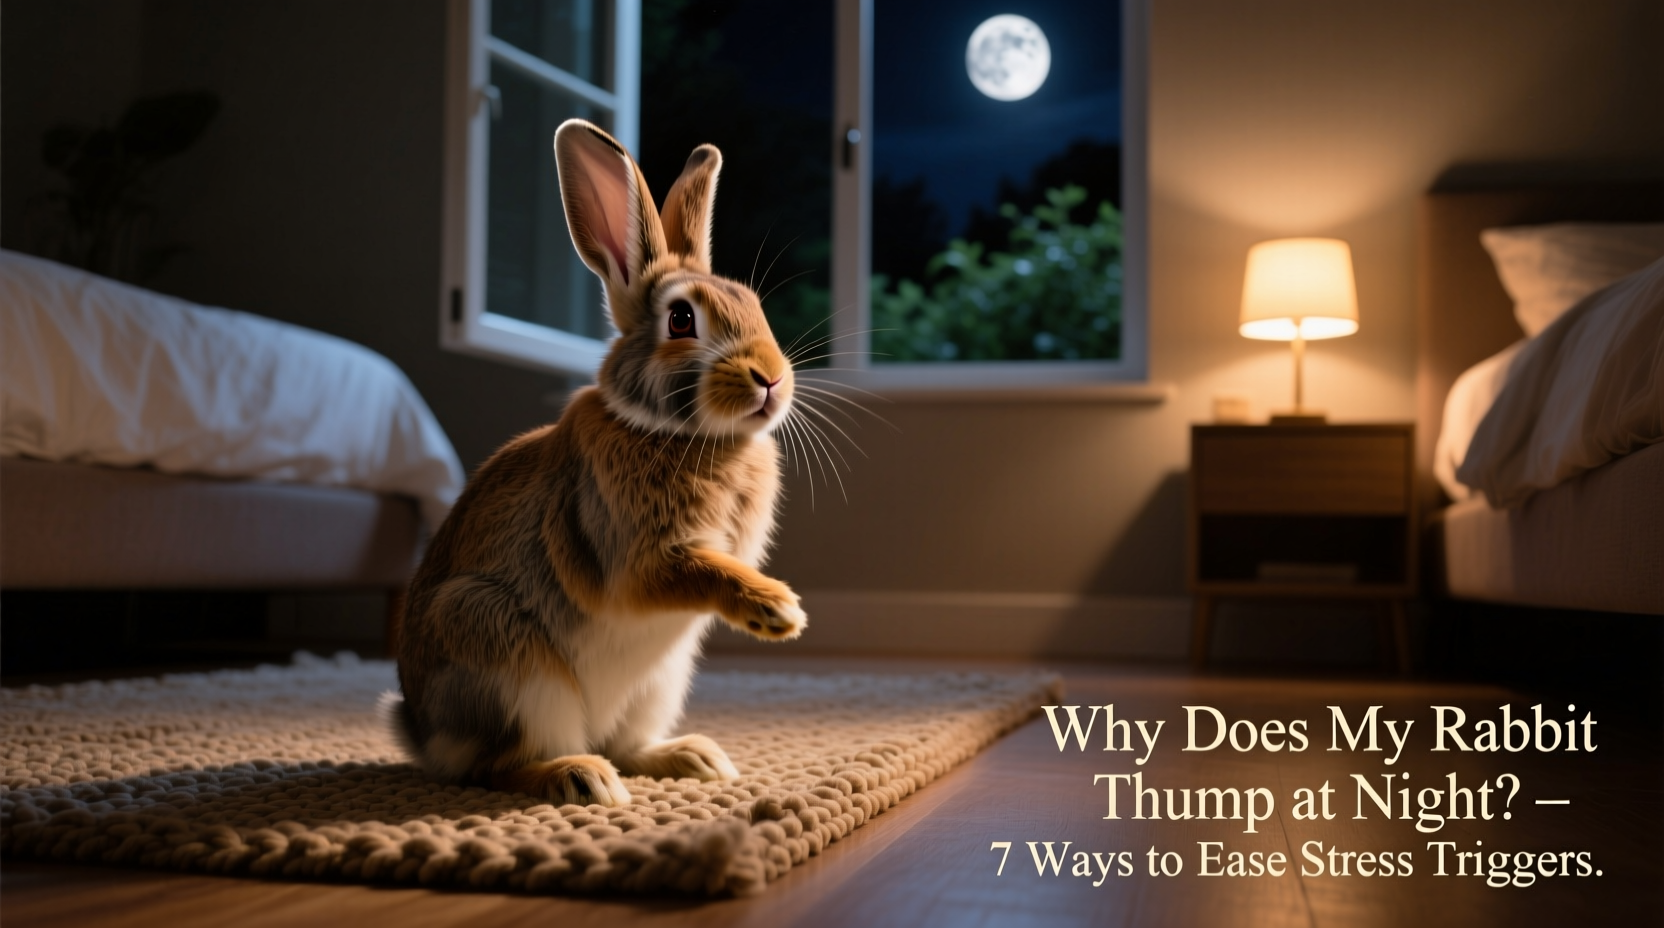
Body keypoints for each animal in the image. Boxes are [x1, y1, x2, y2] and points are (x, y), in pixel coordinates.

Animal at [384, 119, 805, 808]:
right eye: (682, 319)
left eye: (753, 305)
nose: (771, 378)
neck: (675, 432)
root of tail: (421, 735)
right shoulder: (638, 555)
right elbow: (695, 573)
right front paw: (778, 611)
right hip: (508, 659)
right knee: (495, 767)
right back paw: (580, 778)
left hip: (658, 685)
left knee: (624, 745)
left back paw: (694, 758)